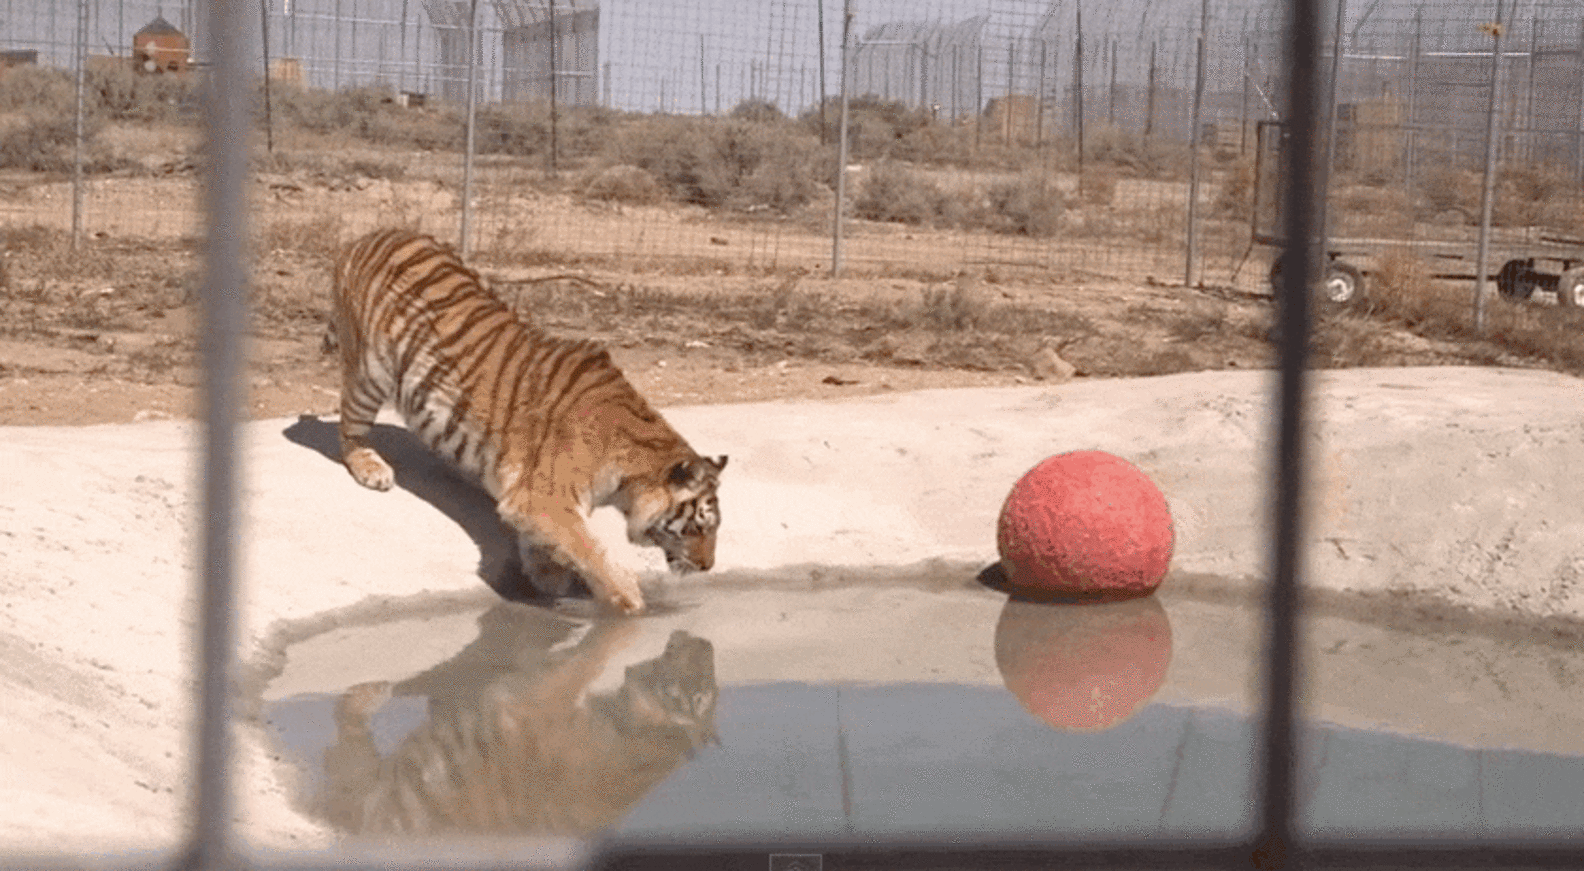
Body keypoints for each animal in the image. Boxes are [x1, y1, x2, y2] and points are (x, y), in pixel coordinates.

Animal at [323, 607, 719, 836]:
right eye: (706, 681)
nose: (704, 642)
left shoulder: (539, 690)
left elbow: (593, 652)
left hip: (367, 781)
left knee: (347, 743)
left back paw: (370, 692)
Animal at [329, 227, 727, 614]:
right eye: (699, 528)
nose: (708, 567)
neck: (631, 473)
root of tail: (370, 234)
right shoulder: (544, 498)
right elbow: (593, 552)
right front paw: (630, 604)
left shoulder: (531, 498)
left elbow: (549, 546)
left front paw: (547, 581)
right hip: (370, 369)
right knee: (349, 427)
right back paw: (371, 468)